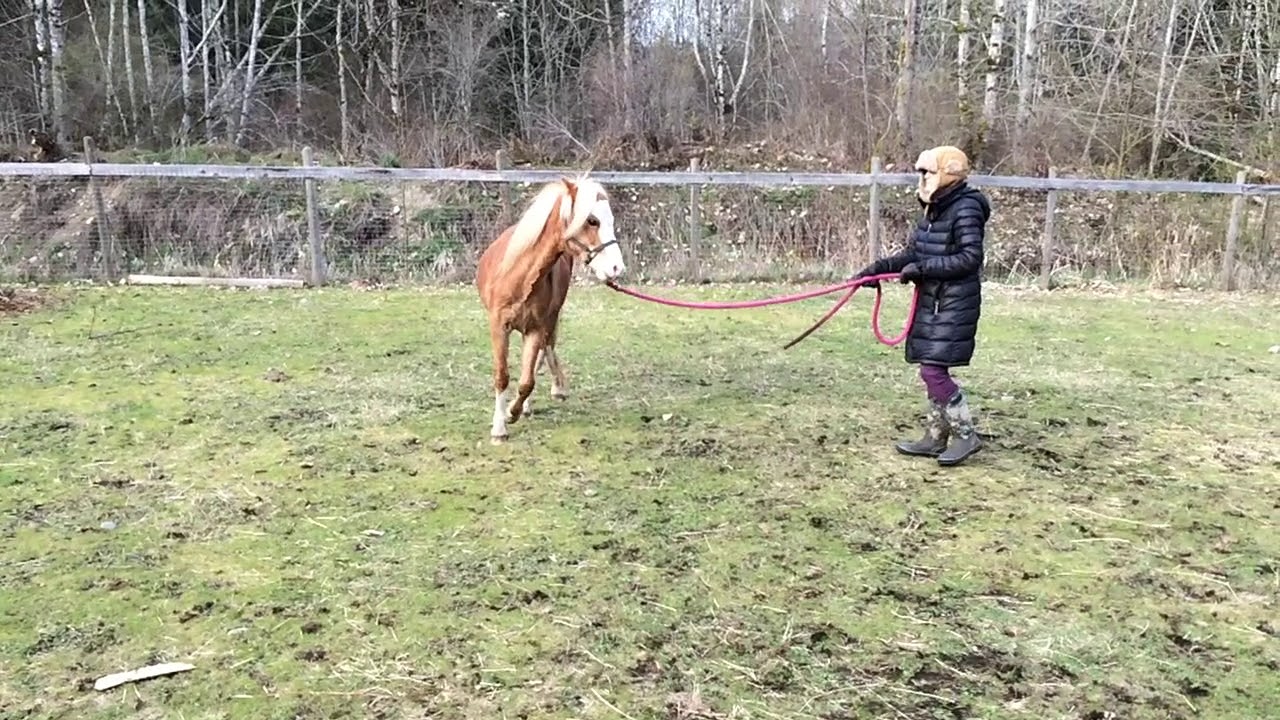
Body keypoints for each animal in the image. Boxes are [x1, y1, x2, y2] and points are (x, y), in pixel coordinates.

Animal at [475, 176, 626, 443]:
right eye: (592, 220)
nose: (617, 268)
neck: (519, 276)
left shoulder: (535, 328)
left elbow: (527, 380)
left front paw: (513, 412)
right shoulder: (499, 327)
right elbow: (502, 375)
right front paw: (499, 428)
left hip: (551, 317)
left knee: (546, 350)